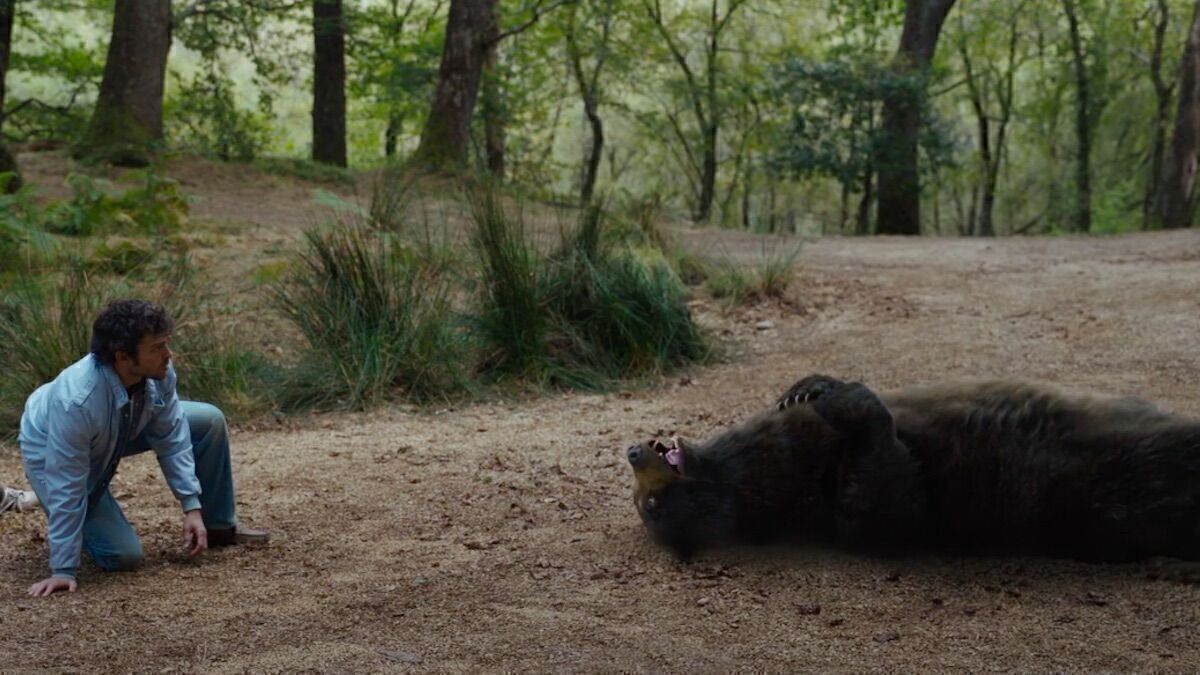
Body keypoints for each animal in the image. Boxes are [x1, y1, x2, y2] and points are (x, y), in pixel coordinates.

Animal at [627, 374, 1200, 562]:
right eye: (650, 504)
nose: (633, 453)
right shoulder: (853, 500)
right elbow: (897, 497)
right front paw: (846, 400)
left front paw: (809, 386)